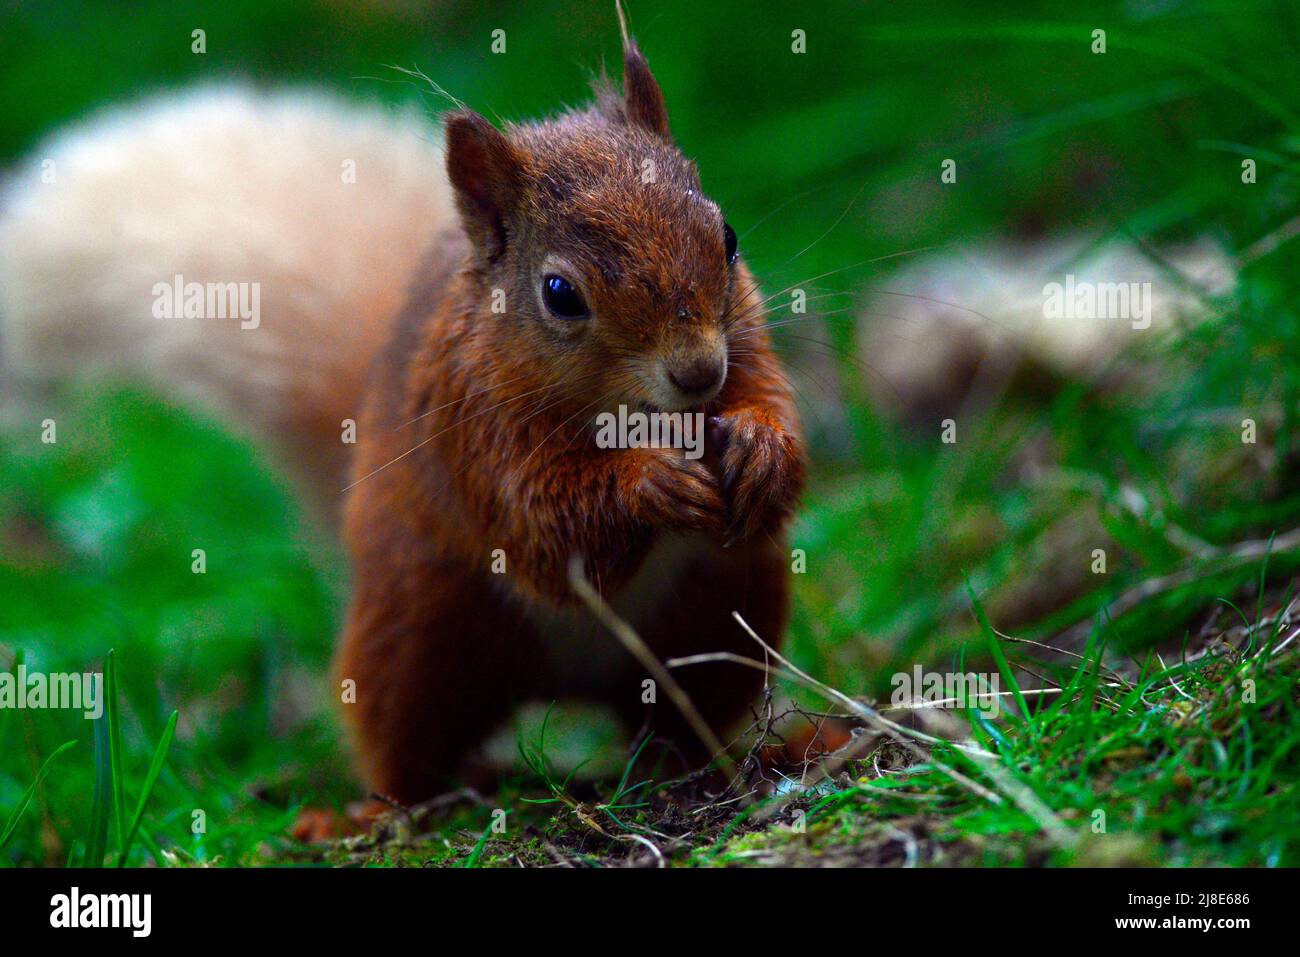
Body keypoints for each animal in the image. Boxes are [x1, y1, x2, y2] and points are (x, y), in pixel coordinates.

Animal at [0, 14, 805, 806]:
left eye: (727, 236)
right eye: (560, 294)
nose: (698, 373)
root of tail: (567, 685)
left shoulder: (749, 348)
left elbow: (774, 417)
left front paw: (760, 448)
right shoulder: (469, 423)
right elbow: (546, 523)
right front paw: (651, 482)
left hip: (721, 609)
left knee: (676, 717)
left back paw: (729, 758)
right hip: (418, 632)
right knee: (404, 745)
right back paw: (389, 808)